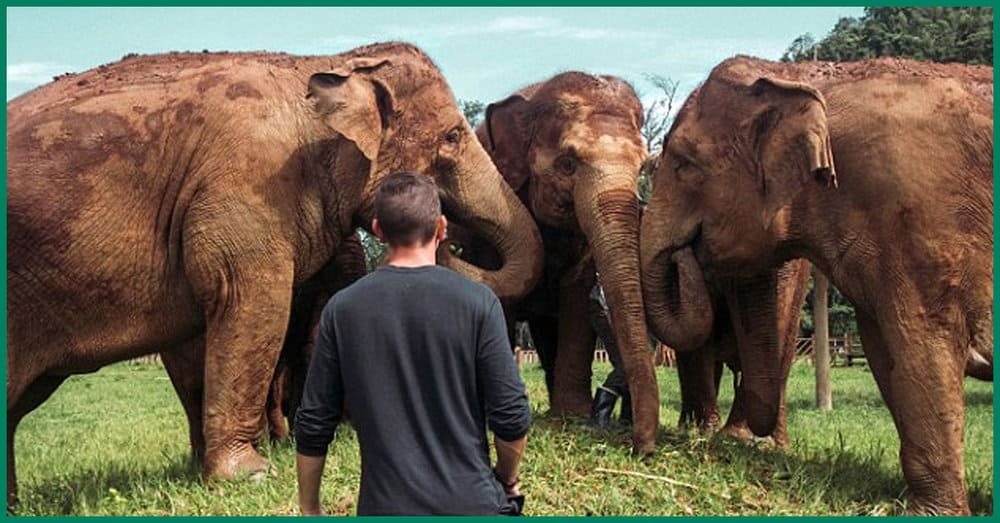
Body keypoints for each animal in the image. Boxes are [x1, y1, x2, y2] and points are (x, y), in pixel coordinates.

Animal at [6, 42, 543, 505]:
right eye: (452, 136)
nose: (449, 241)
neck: (326, 64)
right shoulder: (246, 190)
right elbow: (252, 301)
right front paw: (249, 474)